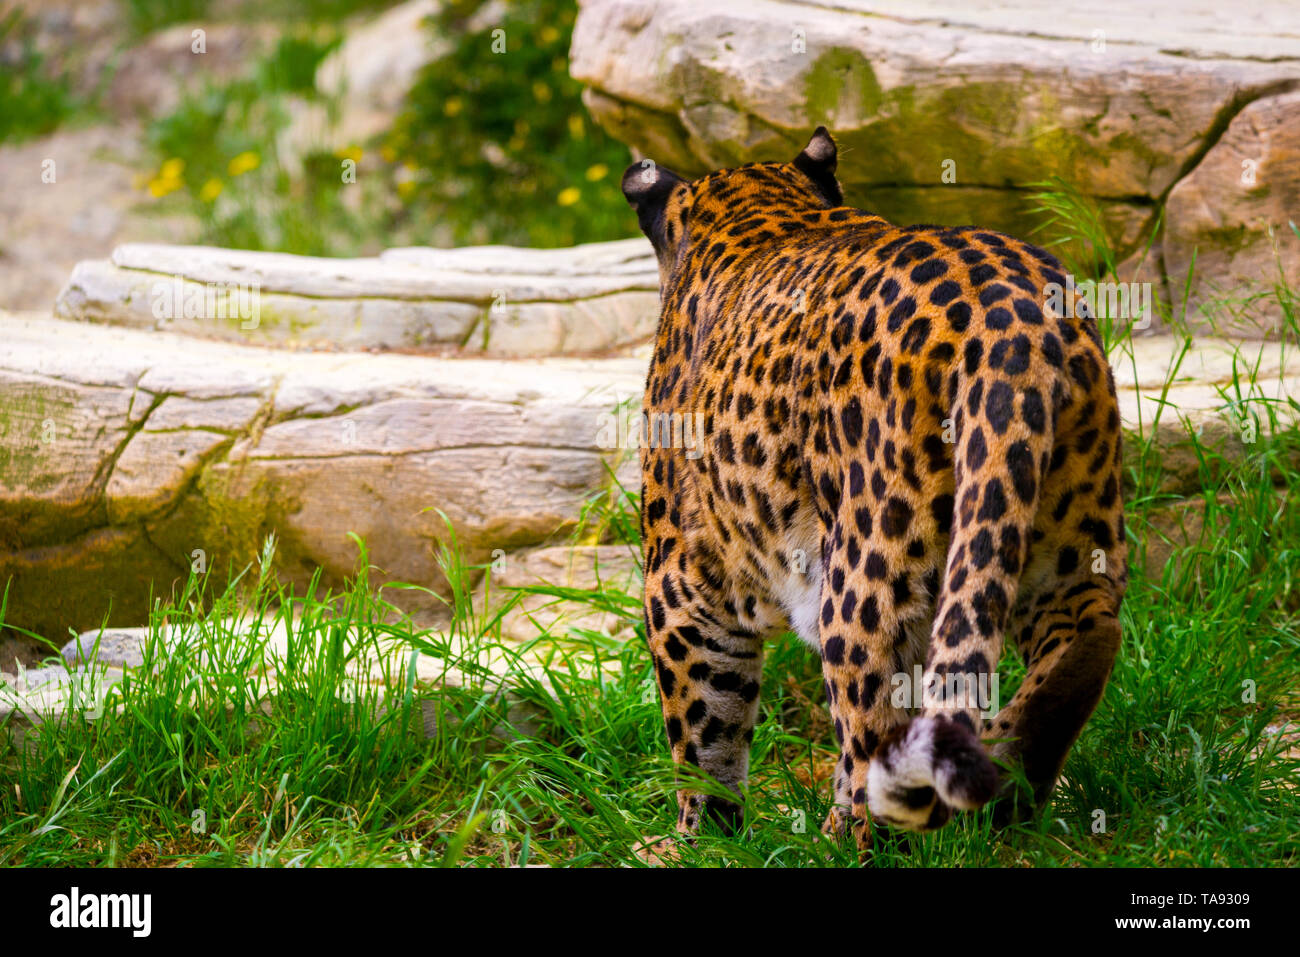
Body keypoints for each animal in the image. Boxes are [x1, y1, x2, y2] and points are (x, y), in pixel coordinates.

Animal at [621, 127, 1126, 855]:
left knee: (874, 726)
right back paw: (1010, 784)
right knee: (1087, 631)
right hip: (1064, 531)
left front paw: (700, 841)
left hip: (869, 572)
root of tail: (1012, 319)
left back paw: (849, 837)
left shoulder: (682, 583)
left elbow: (703, 732)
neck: (760, 207)